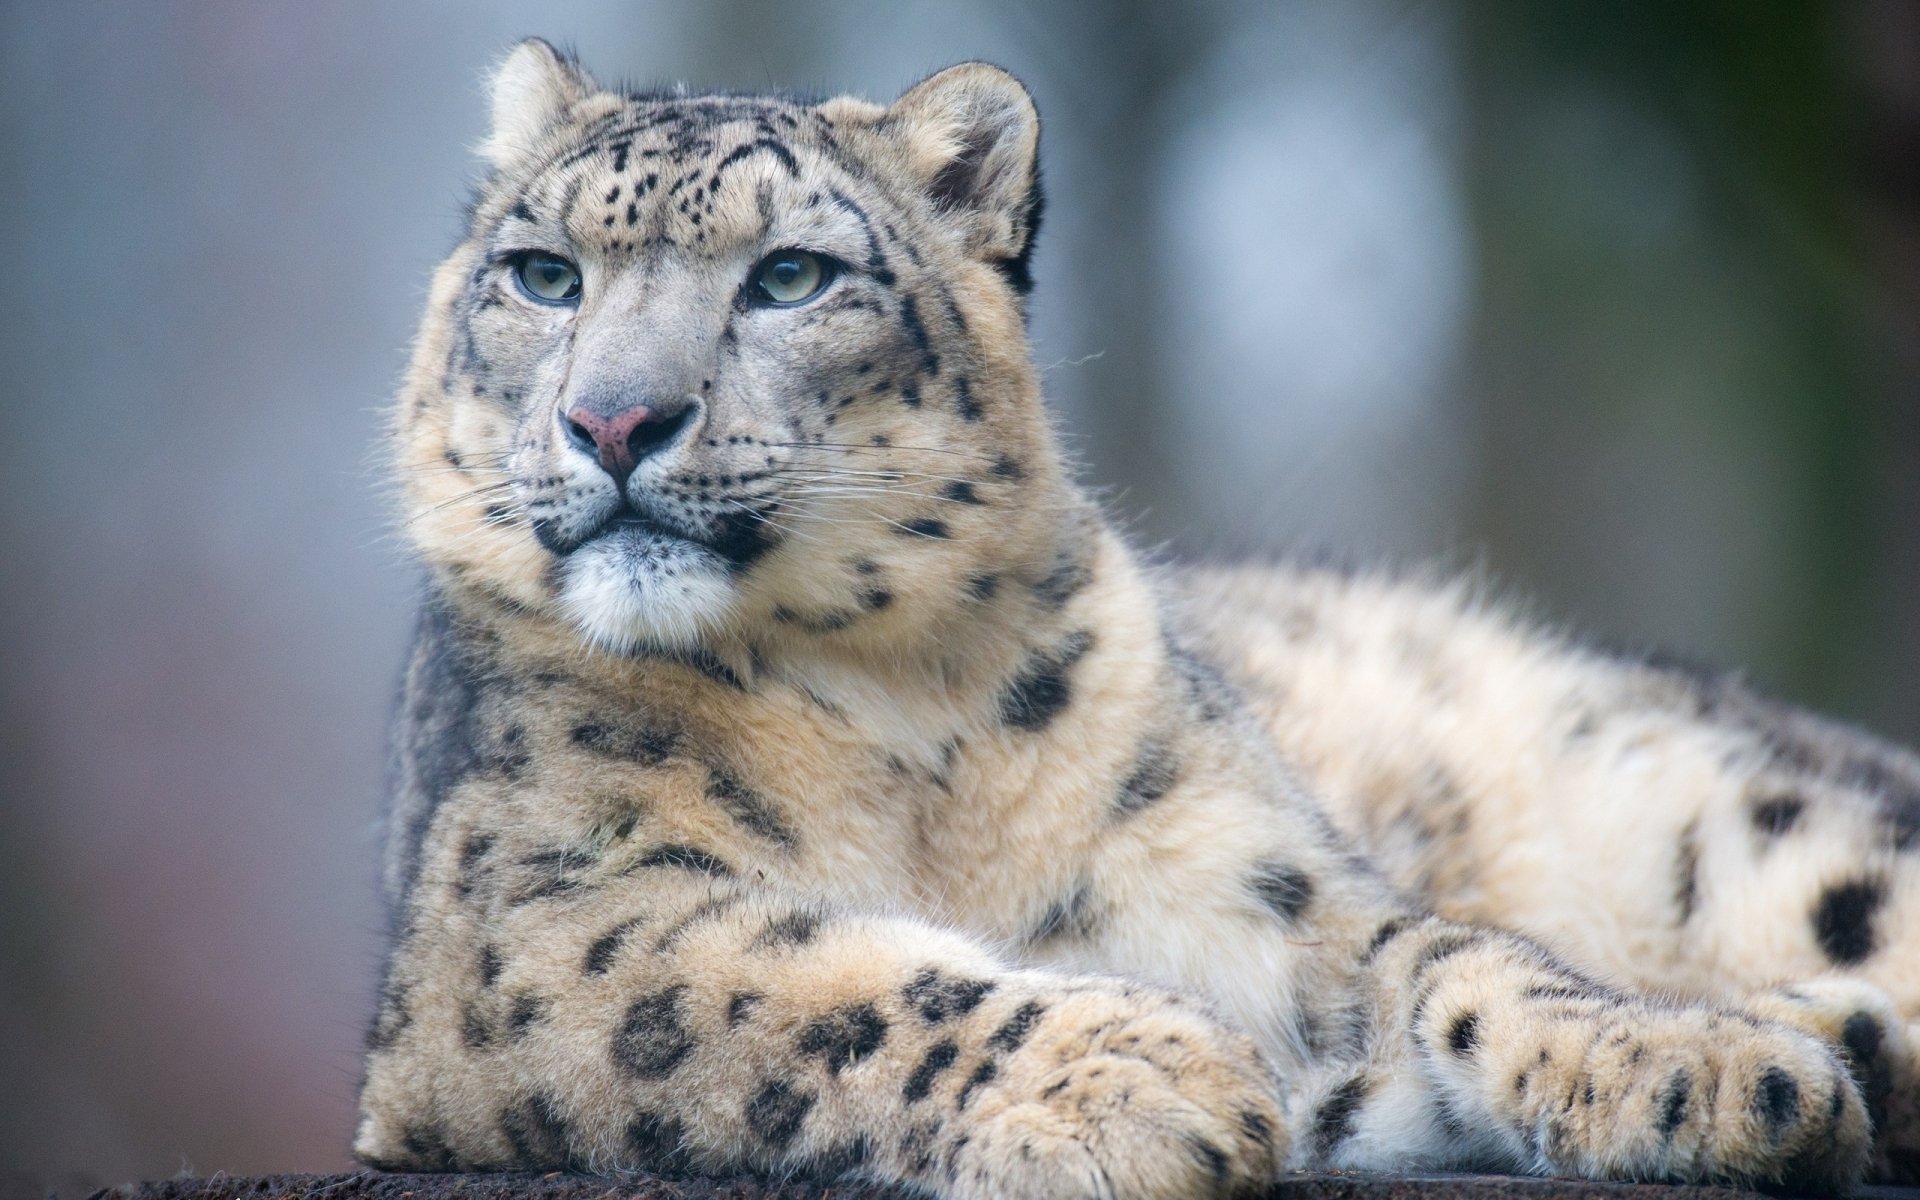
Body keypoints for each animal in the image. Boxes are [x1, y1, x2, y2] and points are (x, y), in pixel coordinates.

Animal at [356, 39, 1920, 1197]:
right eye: (543, 274)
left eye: (790, 275)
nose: (615, 420)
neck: (898, 712)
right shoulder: (537, 919)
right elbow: (803, 983)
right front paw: (1144, 1074)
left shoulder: (1252, 879)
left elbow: (1454, 955)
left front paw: (1705, 1065)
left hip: (1737, 817)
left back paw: (1814, 1031)